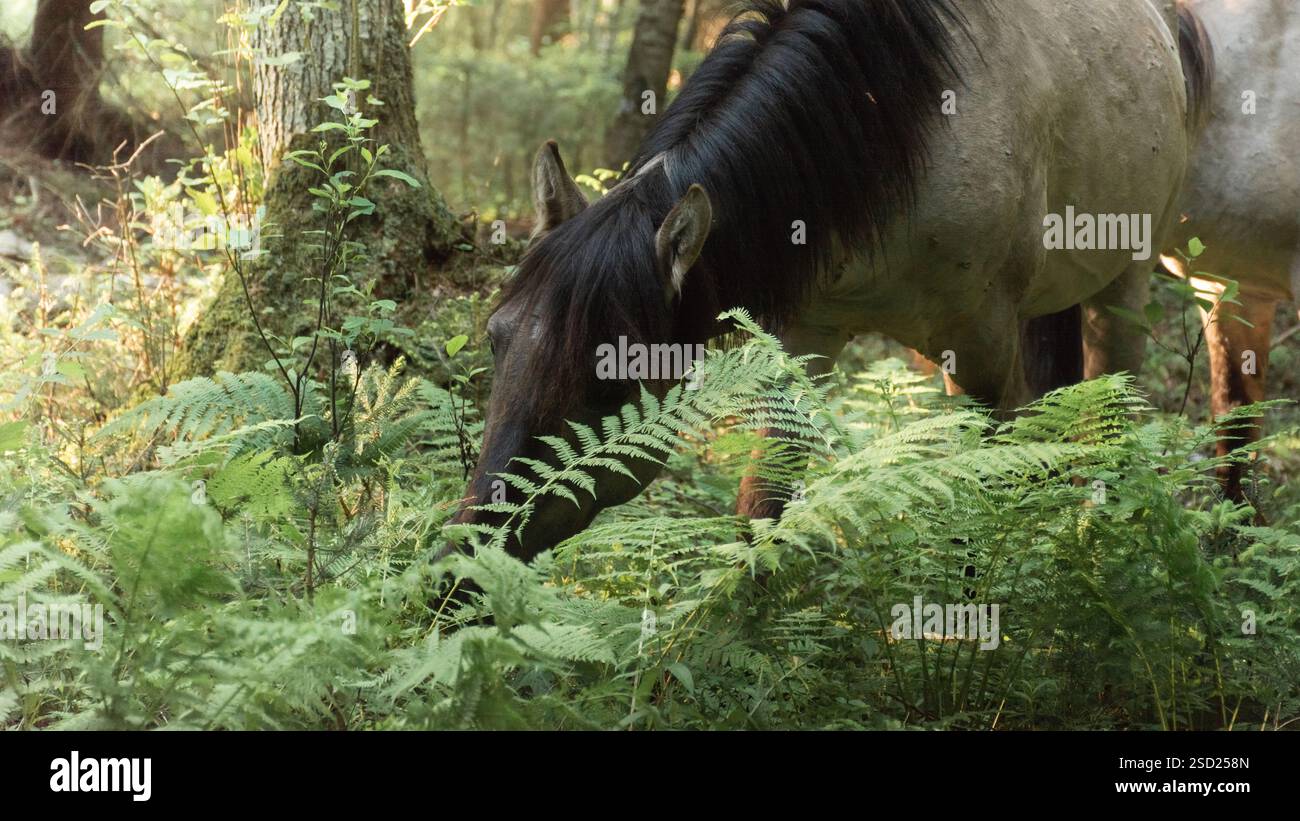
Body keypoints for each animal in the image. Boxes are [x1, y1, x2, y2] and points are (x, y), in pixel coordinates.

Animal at [448, 0, 1209, 561]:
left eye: (609, 377)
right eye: (496, 338)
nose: (465, 556)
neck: (894, 126)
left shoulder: (983, 351)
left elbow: (989, 478)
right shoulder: (804, 334)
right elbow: (761, 505)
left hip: (1125, 285)